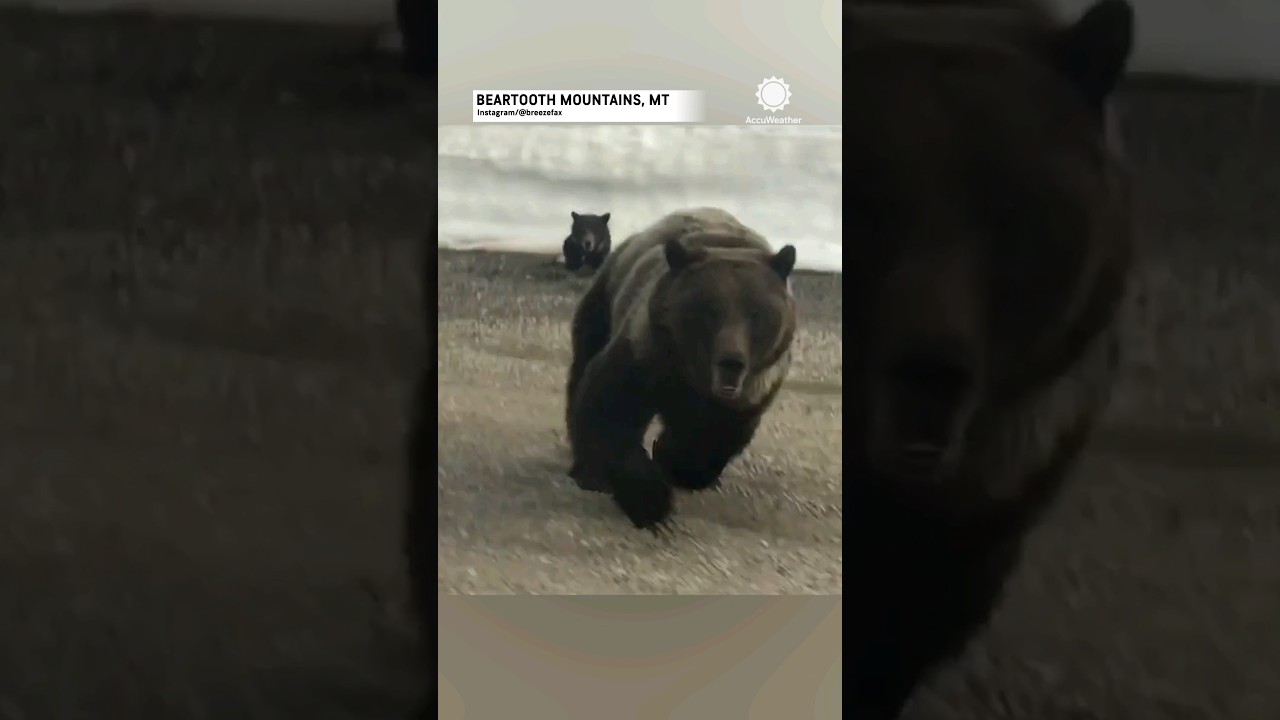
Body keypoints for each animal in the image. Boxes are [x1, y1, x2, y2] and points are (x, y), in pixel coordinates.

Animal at [564, 208, 798, 531]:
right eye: (710, 311)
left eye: (756, 314)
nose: (731, 361)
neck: (694, 376)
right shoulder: (647, 354)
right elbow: (610, 411)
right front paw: (650, 500)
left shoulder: (752, 390)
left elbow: (715, 437)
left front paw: (674, 462)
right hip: (604, 301)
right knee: (583, 363)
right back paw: (586, 471)